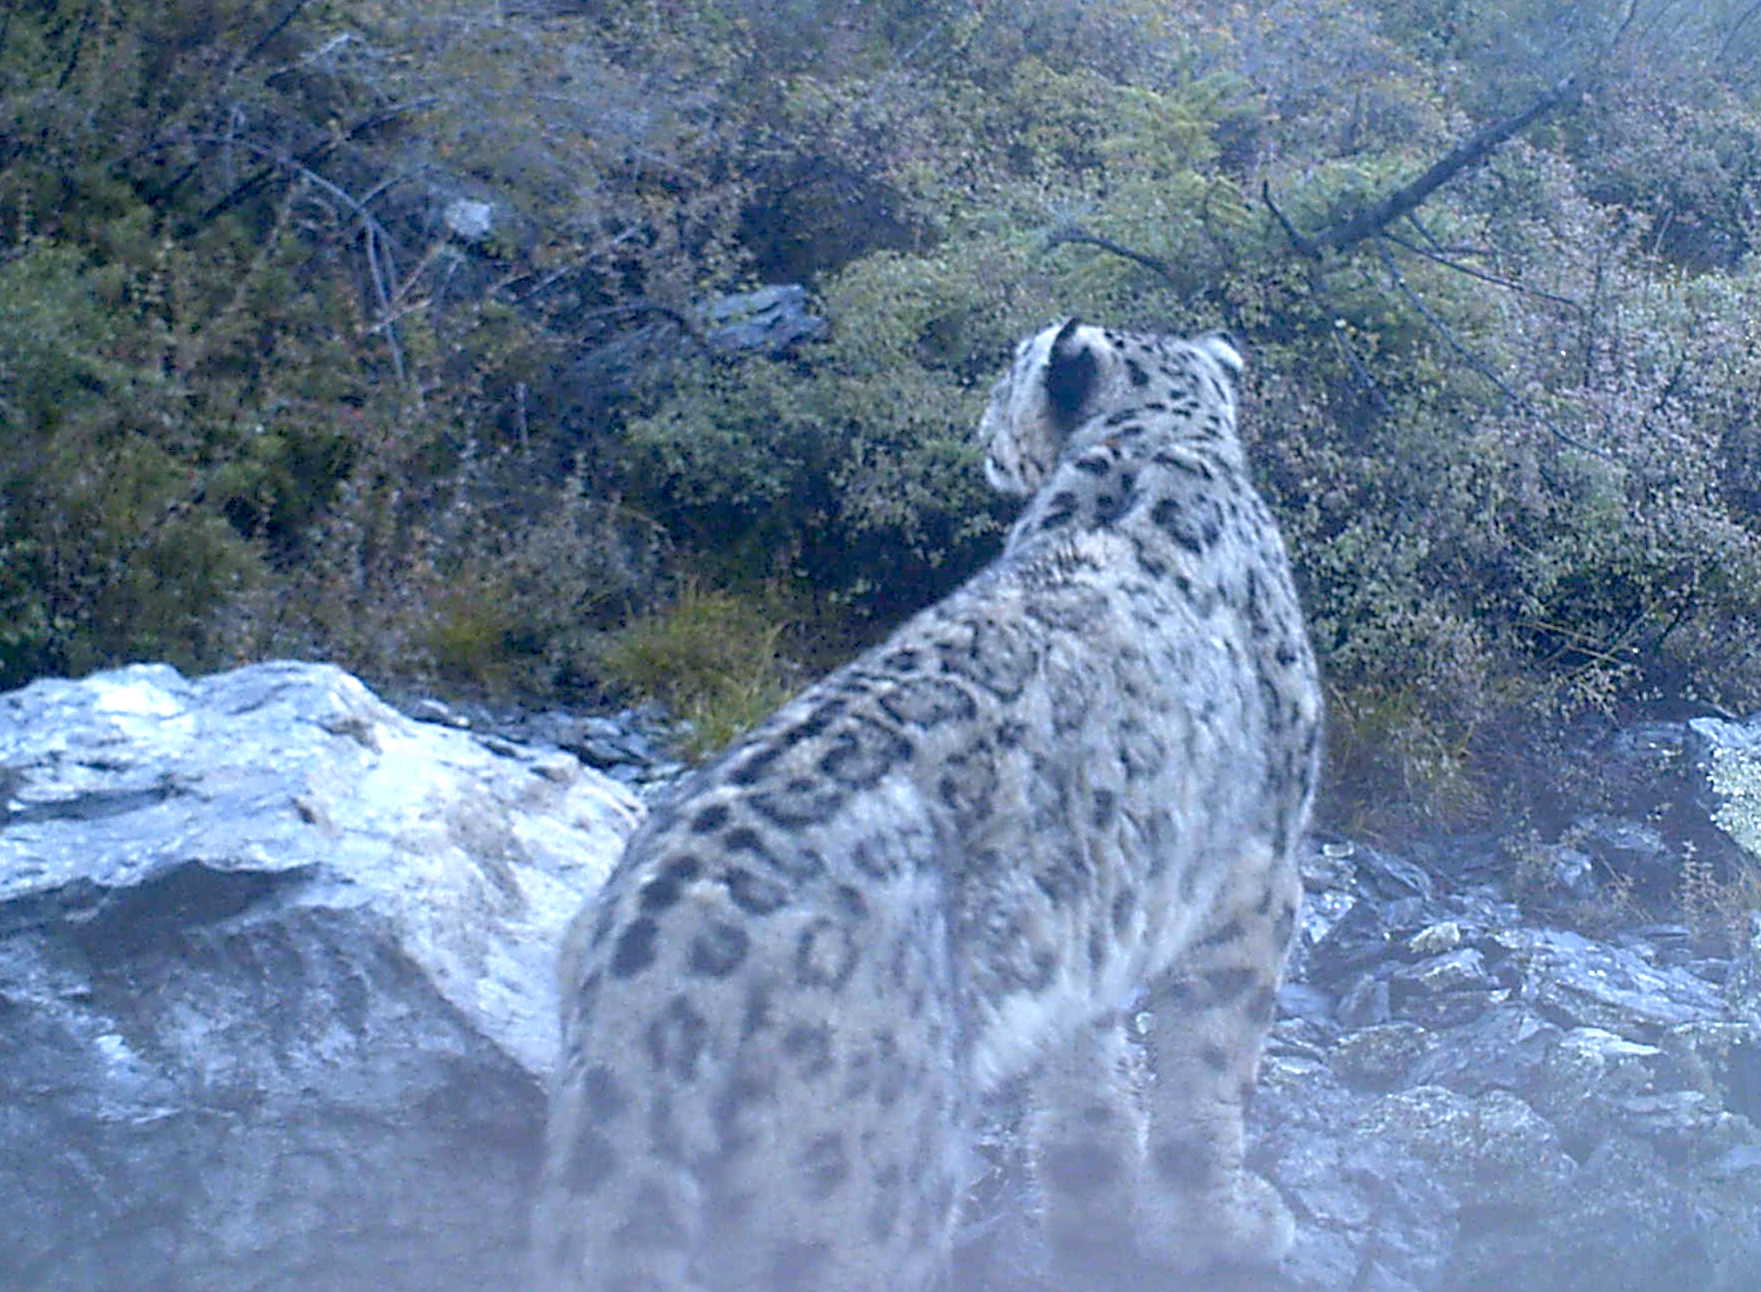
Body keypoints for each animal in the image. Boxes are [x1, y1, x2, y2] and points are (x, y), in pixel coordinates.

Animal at [532, 318, 1322, 1292]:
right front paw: (1229, 1224)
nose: (976, 427)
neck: (1157, 441)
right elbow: (1211, 1065)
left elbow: (1086, 1080)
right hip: (855, 1171)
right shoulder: (1263, 868)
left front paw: (1094, 1209)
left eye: (1006, 372)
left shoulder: (1100, 929)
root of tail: (666, 936)